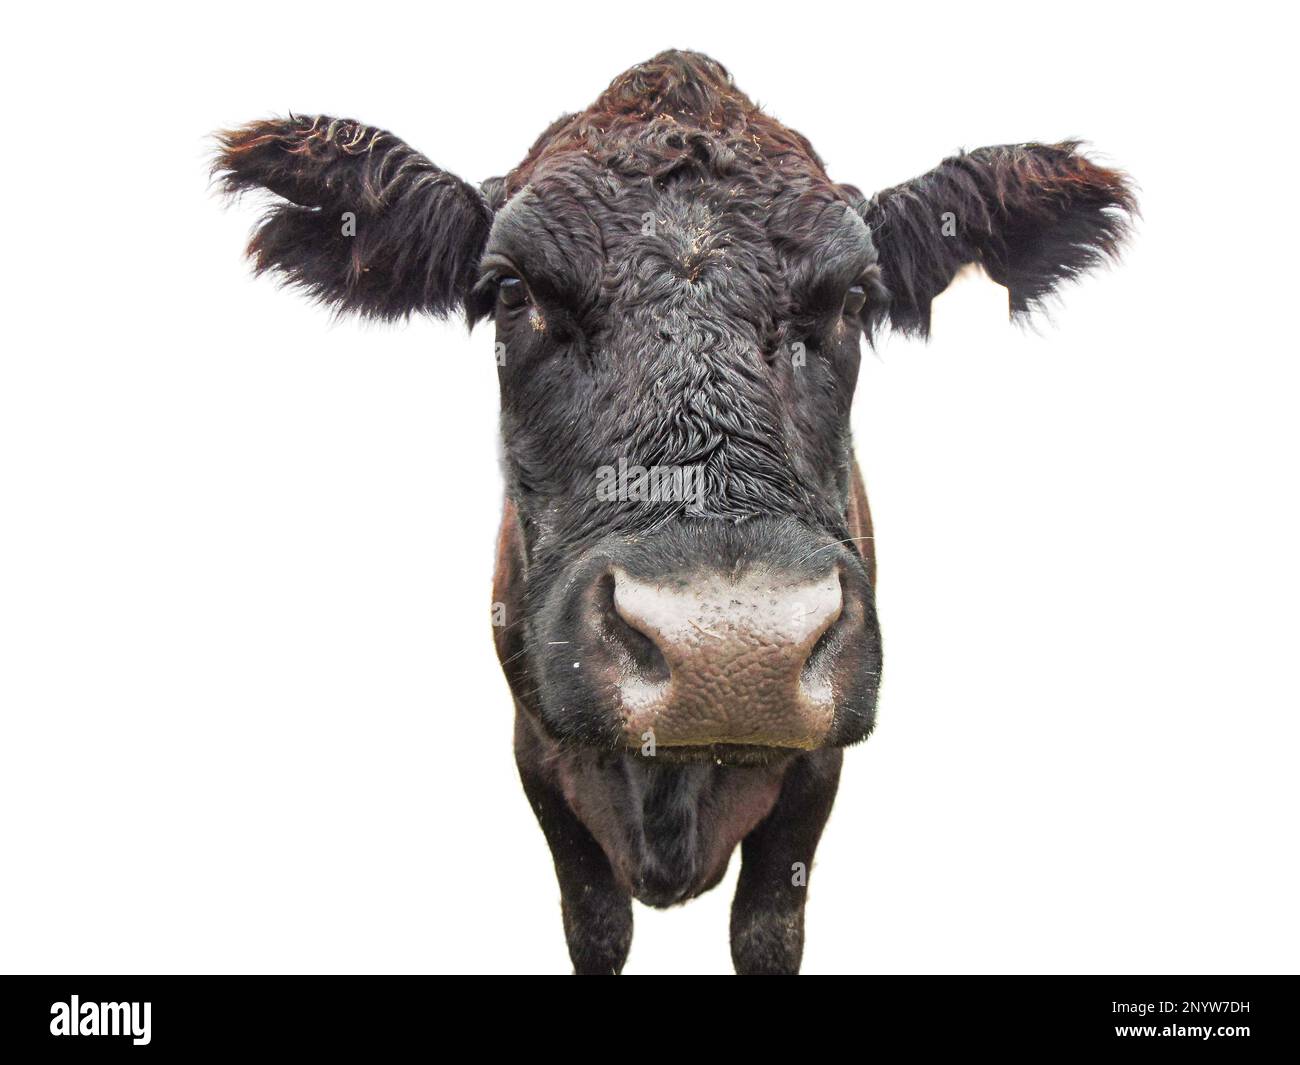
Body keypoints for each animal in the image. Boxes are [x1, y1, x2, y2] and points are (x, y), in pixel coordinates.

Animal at [213, 49, 1135, 974]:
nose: (730, 649)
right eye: (511, 290)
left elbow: (767, 928)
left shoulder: (816, 774)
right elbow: (593, 921)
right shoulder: (536, 749)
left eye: (855, 298)